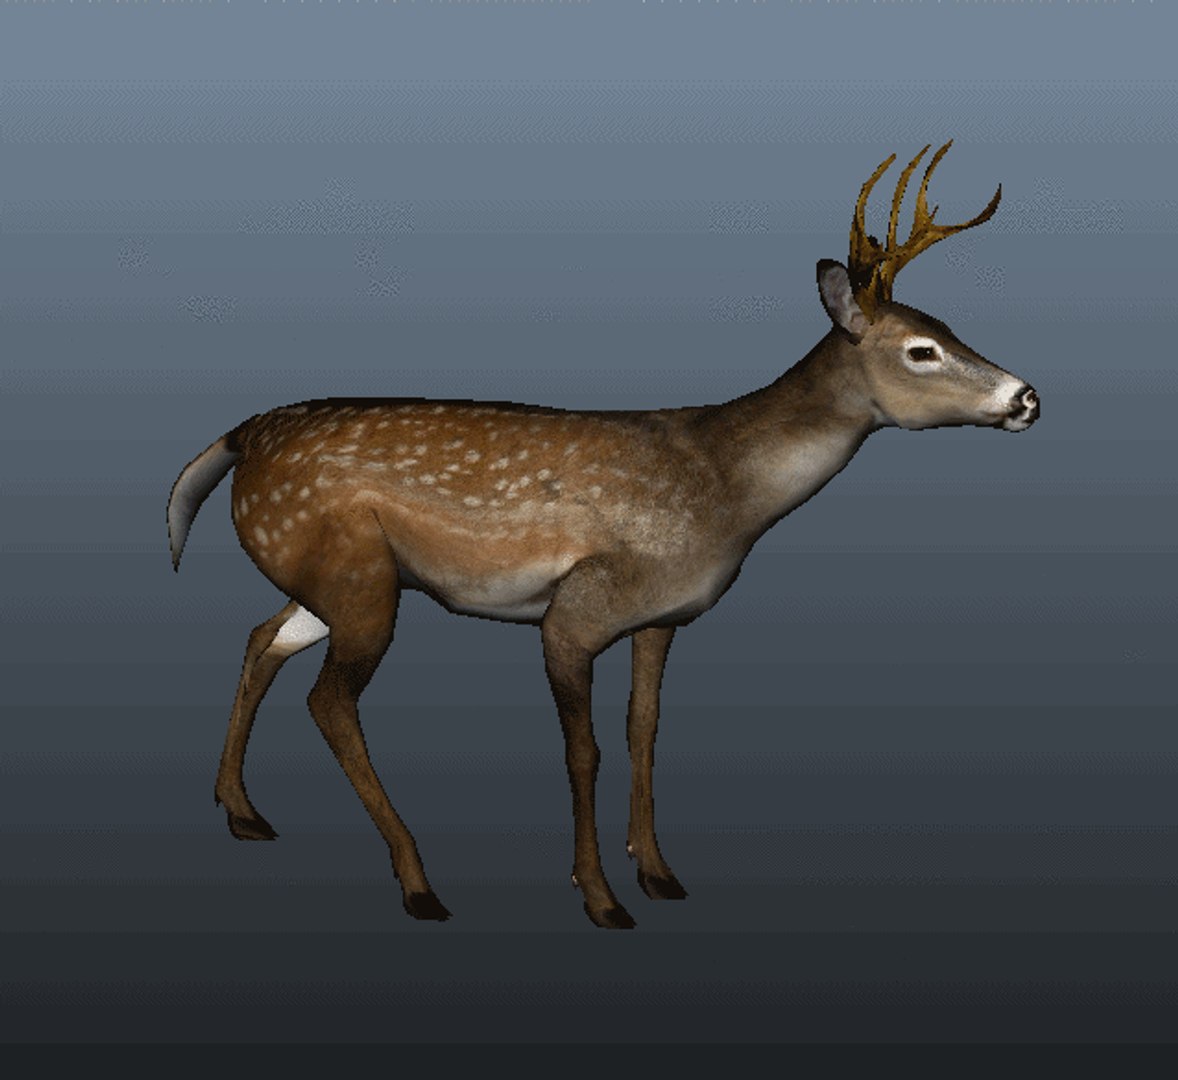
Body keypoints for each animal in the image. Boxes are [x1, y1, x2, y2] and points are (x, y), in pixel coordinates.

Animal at [167, 142, 1039, 930]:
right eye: (920, 350)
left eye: (949, 326)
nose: (1026, 397)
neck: (724, 490)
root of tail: (242, 436)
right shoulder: (575, 612)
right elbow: (580, 749)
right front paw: (600, 898)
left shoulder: (662, 617)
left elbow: (643, 733)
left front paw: (659, 873)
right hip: (358, 579)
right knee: (329, 700)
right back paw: (417, 882)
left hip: (332, 579)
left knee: (262, 639)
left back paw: (241, 810)